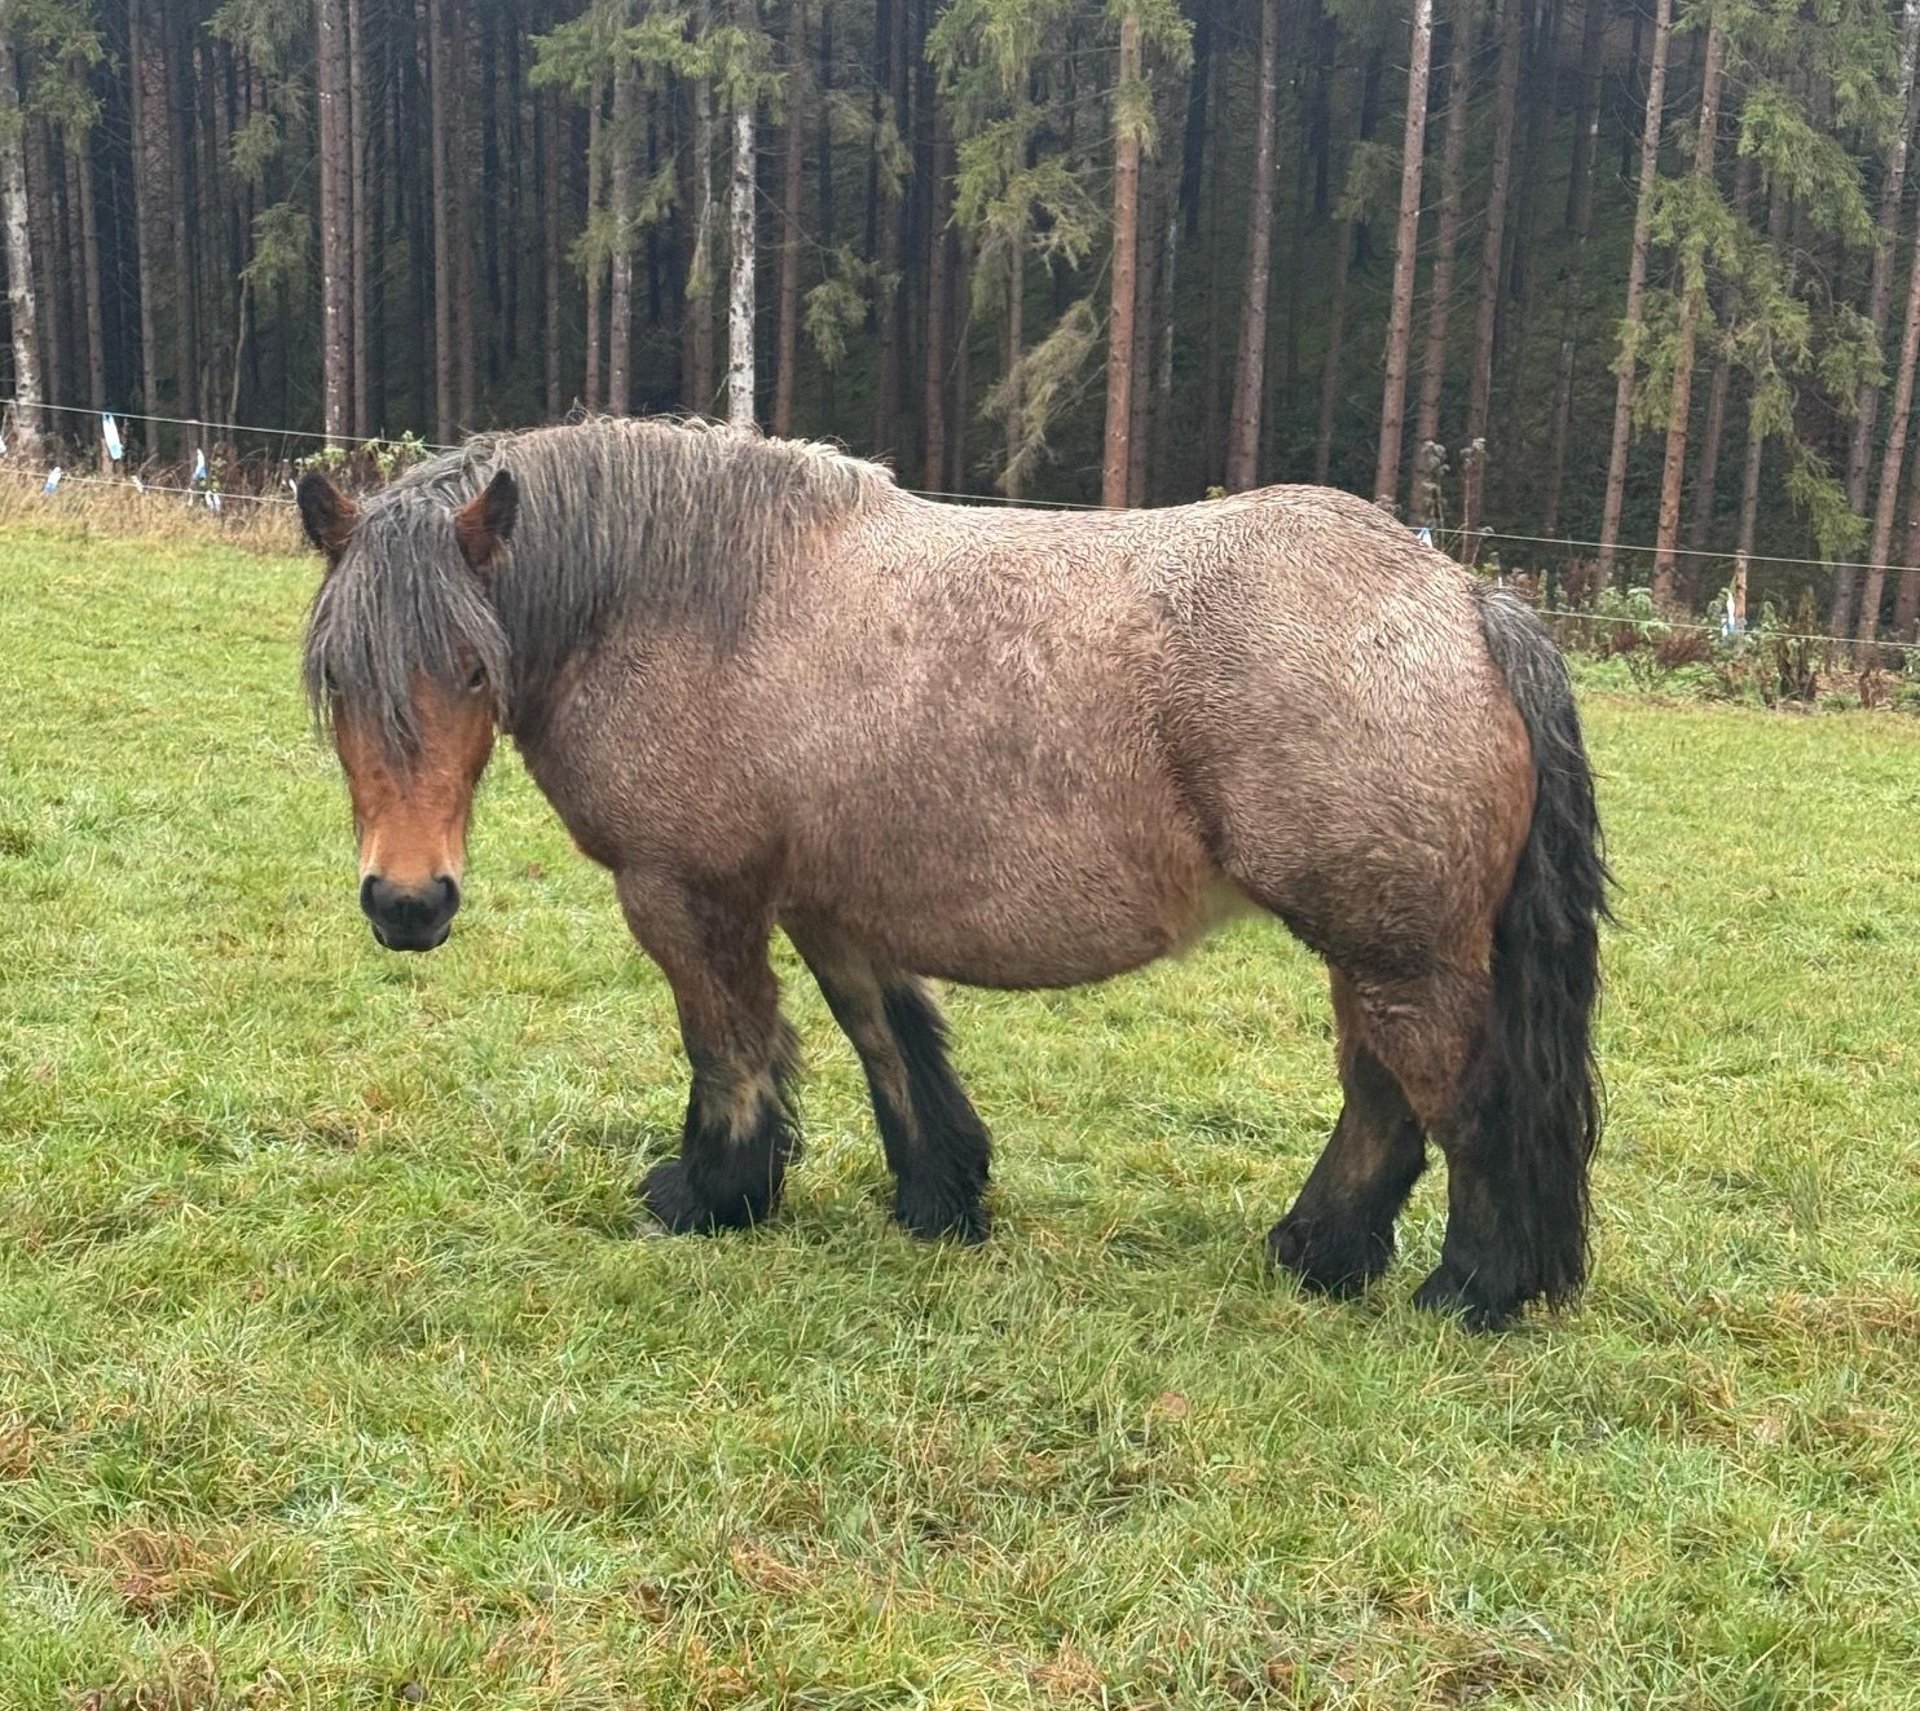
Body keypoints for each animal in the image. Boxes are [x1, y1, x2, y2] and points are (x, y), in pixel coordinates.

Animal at [297, 416, 1608, 1330]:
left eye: (473, 667)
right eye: (337, 675)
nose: (407, 903)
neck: (686, 599)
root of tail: (1465, 602)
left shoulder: (685, 892)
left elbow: (730, 1045)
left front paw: (714, 1193)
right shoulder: (830, 900)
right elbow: (888, 1039)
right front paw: (940, 1195)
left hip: (1397, 947)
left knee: (1457, 1099)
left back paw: (1472, 1288)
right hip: (1374, 944)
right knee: (1383, 1097)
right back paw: (1319, 1252)